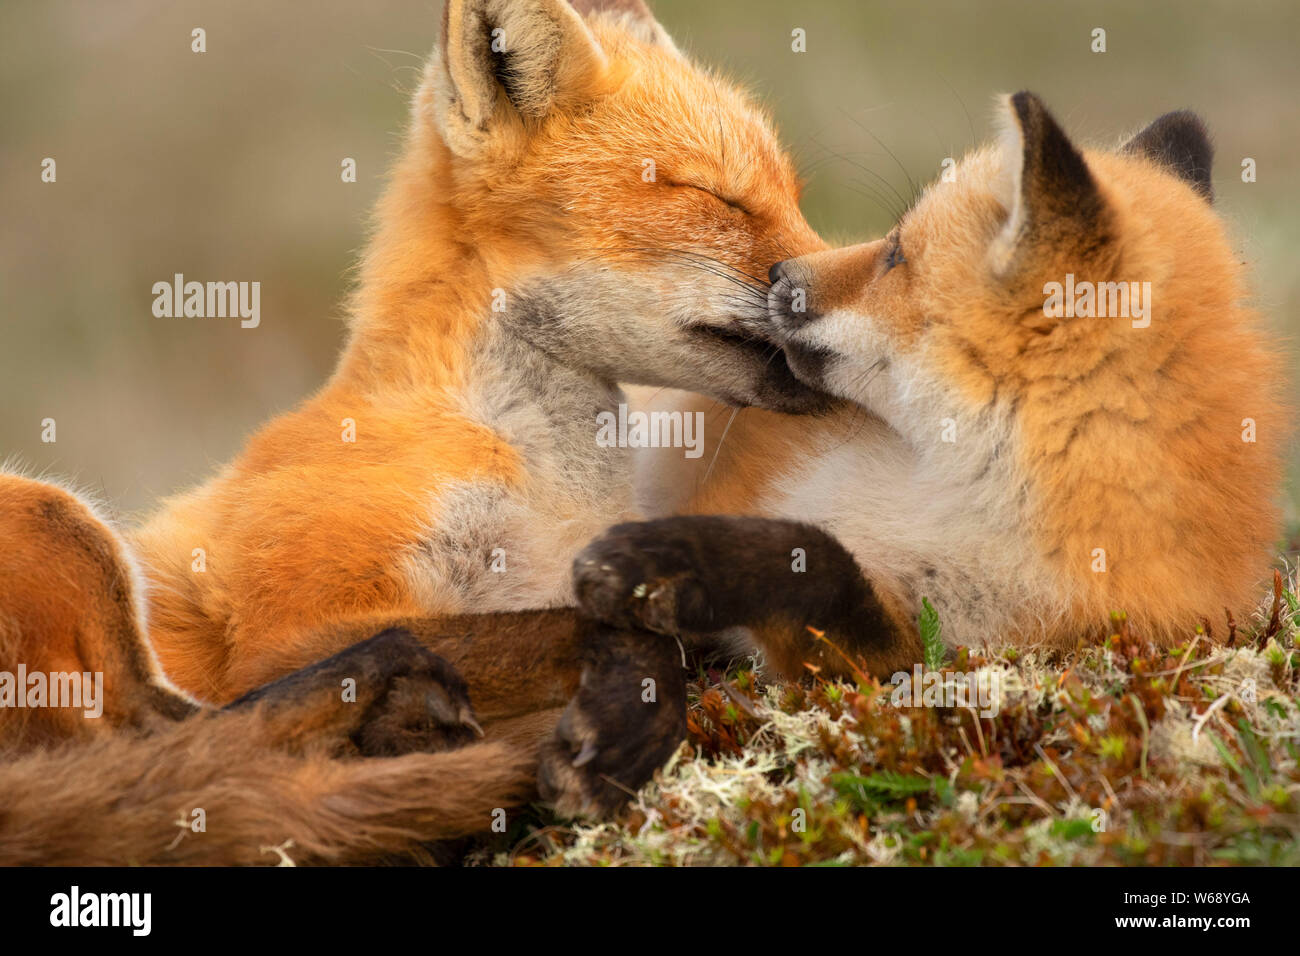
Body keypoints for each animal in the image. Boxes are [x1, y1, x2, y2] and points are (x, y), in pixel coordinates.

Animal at [0, 0, 832, 862]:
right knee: (176, 737)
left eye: (791, 197)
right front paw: (621, 719)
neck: (542, 483)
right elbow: (617, 626)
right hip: (55, 517)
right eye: (714, 196)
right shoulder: (288, 624)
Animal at [567, 92, 1287, 677]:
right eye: (892, 237)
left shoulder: (912, 649)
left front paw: (669, 565)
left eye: (894, 255)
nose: (778, 271)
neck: (941, 485)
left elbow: (817, 561)